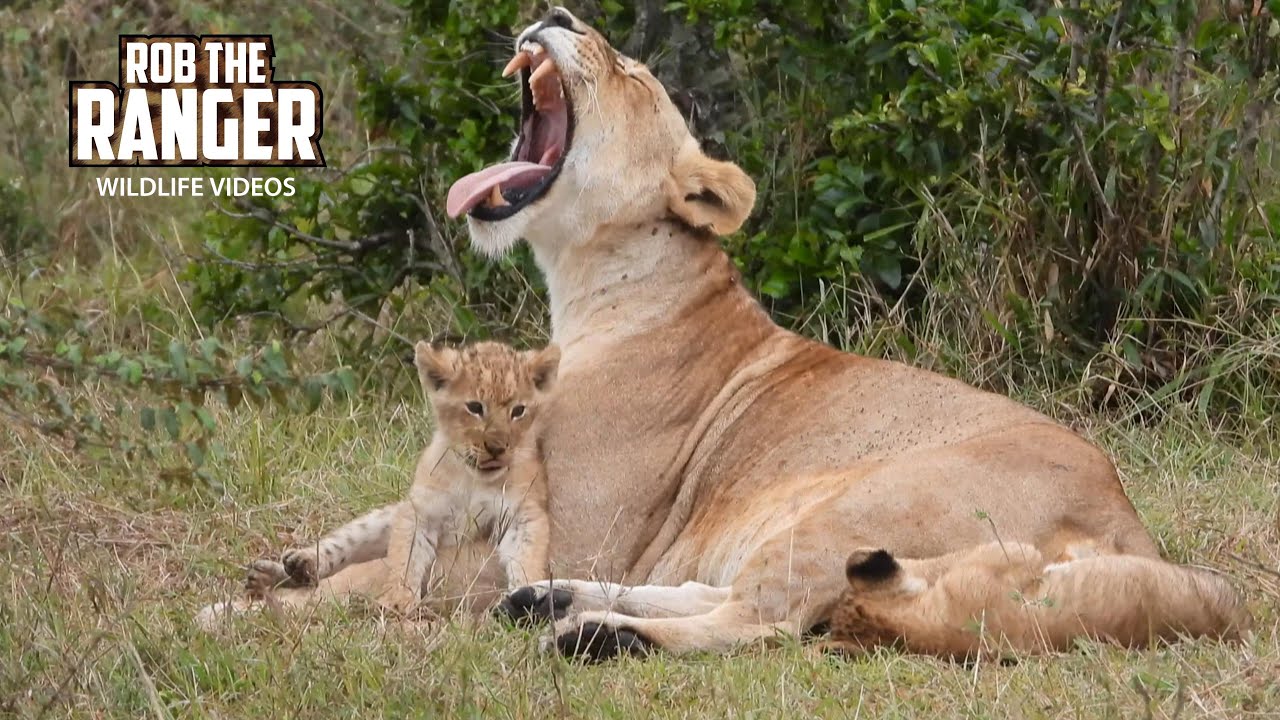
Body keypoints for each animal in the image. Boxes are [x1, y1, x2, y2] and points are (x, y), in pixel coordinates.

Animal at [205, 8, 1171, 658]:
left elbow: (386, 579)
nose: (556, 16)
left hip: (856, 511)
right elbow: (389, 517)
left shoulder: (562, 521)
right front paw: (290, 565)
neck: (587, 287)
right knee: (714, 592)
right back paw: (556, 605)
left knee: (763, 622)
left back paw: (591, 636)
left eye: (630, 71)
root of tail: (1129, 527)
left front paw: (239, 610)